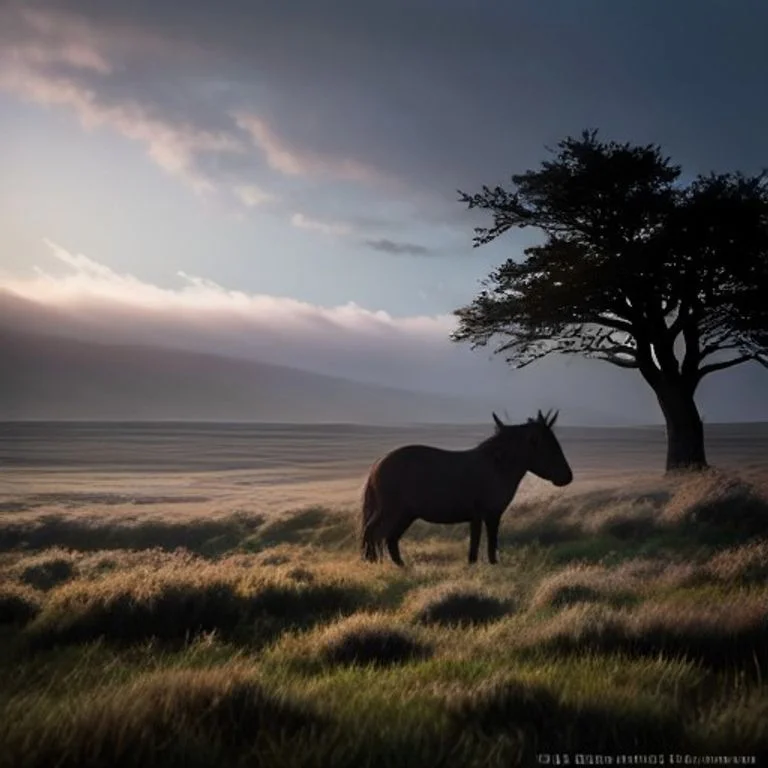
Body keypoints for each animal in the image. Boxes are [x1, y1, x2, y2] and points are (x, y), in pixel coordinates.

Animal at [360, 410, 573, 566]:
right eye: (549, 447)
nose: (567, 477)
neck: (497, 467)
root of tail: (378, 463)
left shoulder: (491, 516)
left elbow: (488, 545)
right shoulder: (481, 515)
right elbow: (478, 545)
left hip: (406, 515)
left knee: (390, 538)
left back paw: (402, 567)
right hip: (390, 510)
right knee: (372, 532)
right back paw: (373, 564)